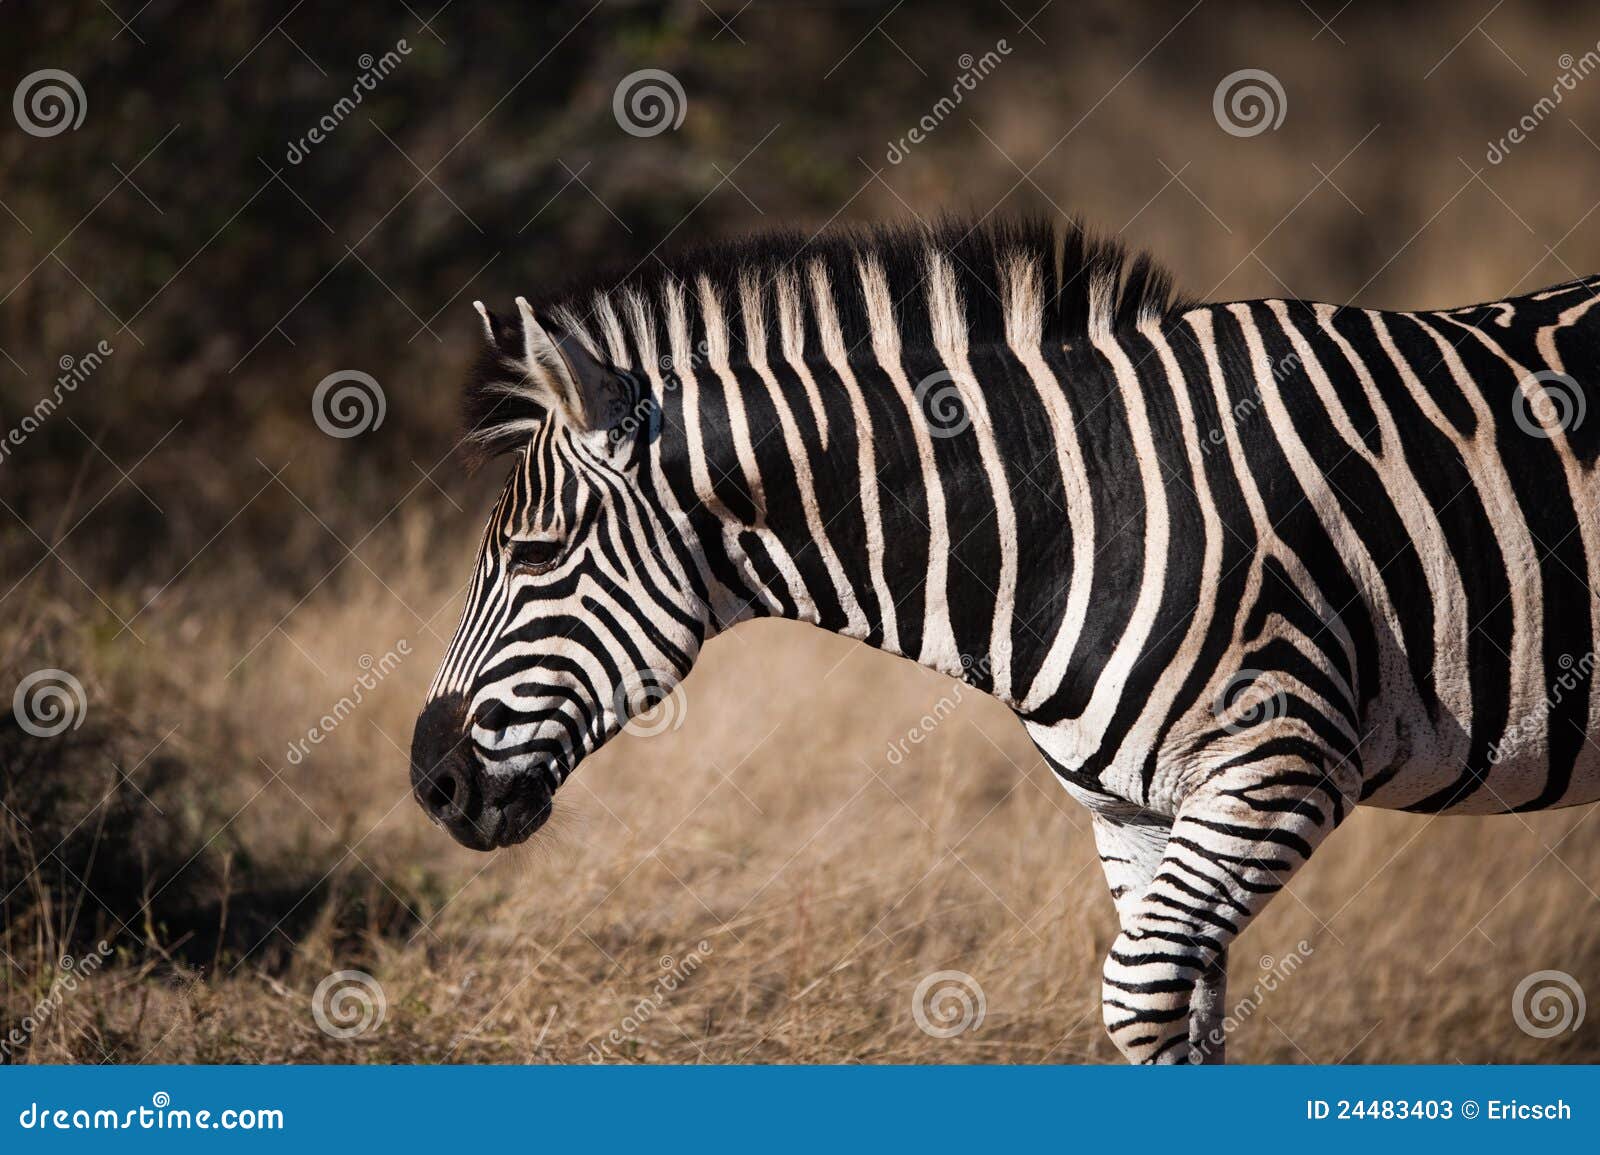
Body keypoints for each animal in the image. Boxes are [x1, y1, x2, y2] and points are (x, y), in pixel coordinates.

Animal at [410, 215, 1600, 1064]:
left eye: (535, 553)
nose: (429, 781)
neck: (1073, 513)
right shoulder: (1135, 810)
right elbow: (1173, 1021)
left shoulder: (1281, 764)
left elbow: (1137, 995)